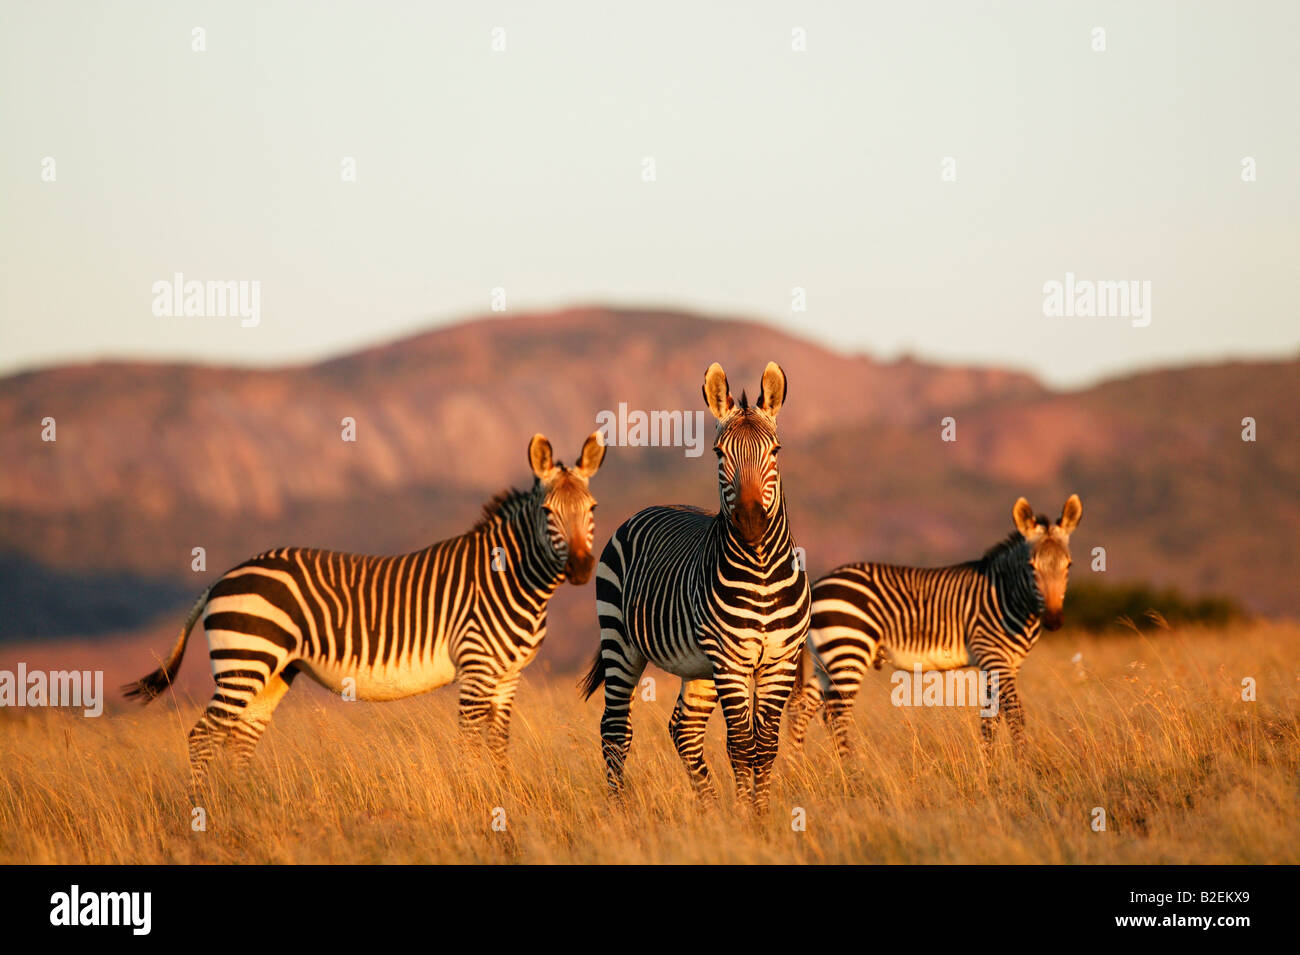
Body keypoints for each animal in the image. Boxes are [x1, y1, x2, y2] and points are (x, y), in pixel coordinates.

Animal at [124, 431, 606, 787]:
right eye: (548, 512)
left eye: (593, 508)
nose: (582, 569)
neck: (513, 579)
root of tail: (222, 577)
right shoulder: (477, 669)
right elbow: (471, 746)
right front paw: (479, 800)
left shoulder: (508, 676)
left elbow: (499, 746)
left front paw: (504, 797)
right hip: (244, 661)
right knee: (202, 737)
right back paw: (206, 813)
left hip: (271, 671)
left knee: (238, 740)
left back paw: (243, 807)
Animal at [580, 362, 811, 813]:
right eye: (720, 453)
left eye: (775, 451)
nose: (752, 523)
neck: (760, 570)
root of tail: (647, 509)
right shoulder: (731, 659)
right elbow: (741, 745)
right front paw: (746, 817)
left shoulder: (781, 659)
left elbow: (766, 745)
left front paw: (760, 813)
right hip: (621, 641)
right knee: (614, 729)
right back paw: (620, 812)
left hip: (697, 665)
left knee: (683, 729)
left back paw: (708, 808)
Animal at [786, 495, 1082, 754]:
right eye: (1032, 566)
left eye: (1068, 565)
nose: (1054, 621)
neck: (1006, 594)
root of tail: (817, 584)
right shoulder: (994, 655)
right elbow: (1015, 714)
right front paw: (1022, 767)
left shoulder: (1006, 663)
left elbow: (991, 718)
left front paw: (991, 769)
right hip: (848, 650)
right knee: (836, 715)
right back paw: (852, 772)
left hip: (828, 657)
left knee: (804, 707)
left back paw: (799, 768)